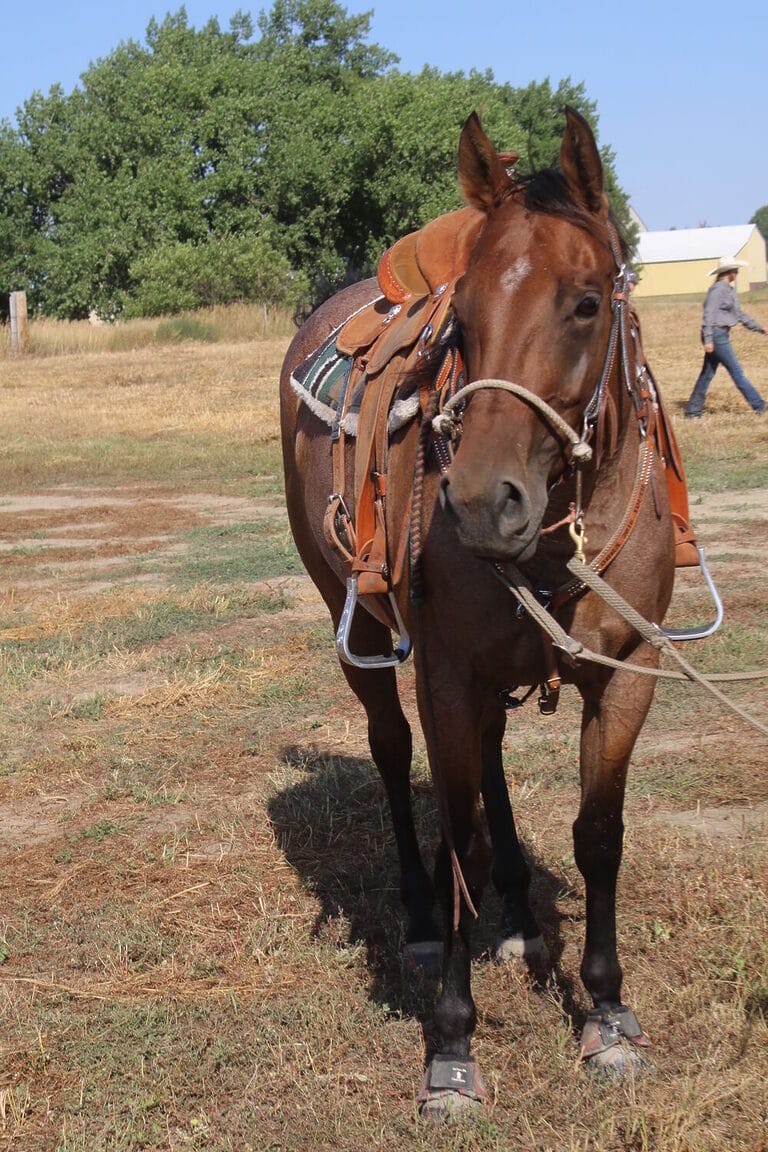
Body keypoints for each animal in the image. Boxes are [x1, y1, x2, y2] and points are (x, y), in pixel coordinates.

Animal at [279, 108, 676, 1118]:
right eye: (462, 320)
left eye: (587, 303)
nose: (479, 502)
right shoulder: (448, 674)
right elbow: (454, 830)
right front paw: (452, 1047)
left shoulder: (627, 675)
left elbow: (598, 832)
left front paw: (607, 1010)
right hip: (361, 628)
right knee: (391, 751)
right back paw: (422, 917)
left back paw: (517, 910)